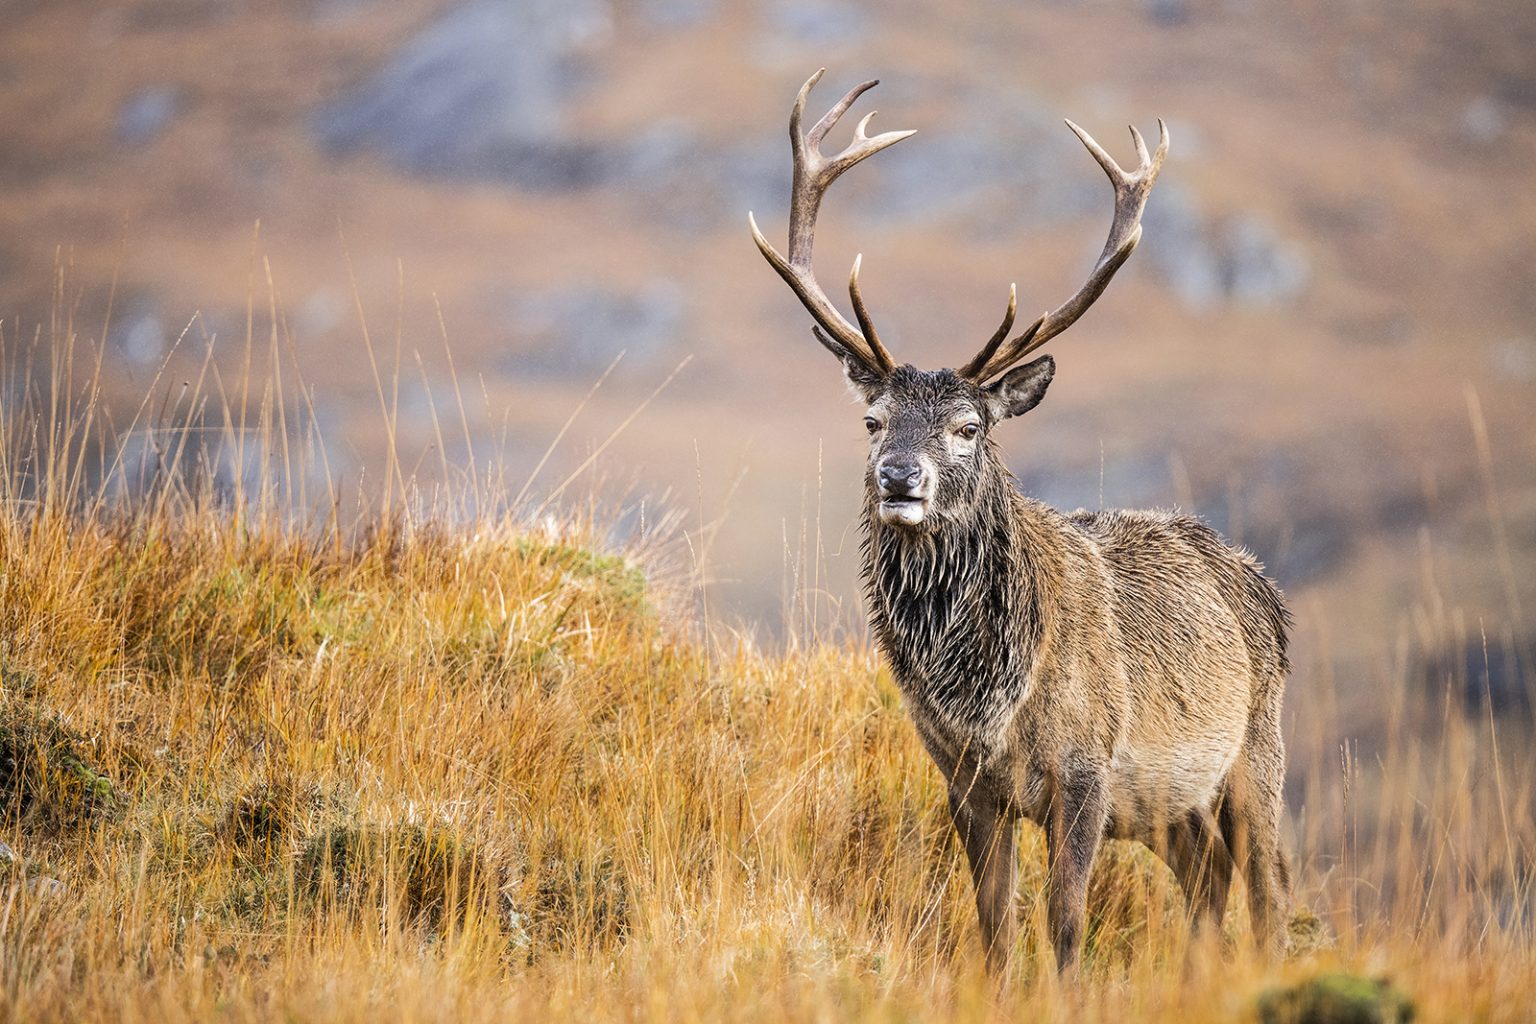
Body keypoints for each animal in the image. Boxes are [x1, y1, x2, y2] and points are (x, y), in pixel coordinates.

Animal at [748, 70, 1291, 974]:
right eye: (874, 420)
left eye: (969, 426)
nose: (900, 477)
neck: (991, 699)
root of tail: (1263, 584)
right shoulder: (965, 781)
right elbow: (995, 927)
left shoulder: (1088, 769)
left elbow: (1065, 923)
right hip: (1172, 805)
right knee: (1207, 878)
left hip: (1258, 750)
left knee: (1270, 891)